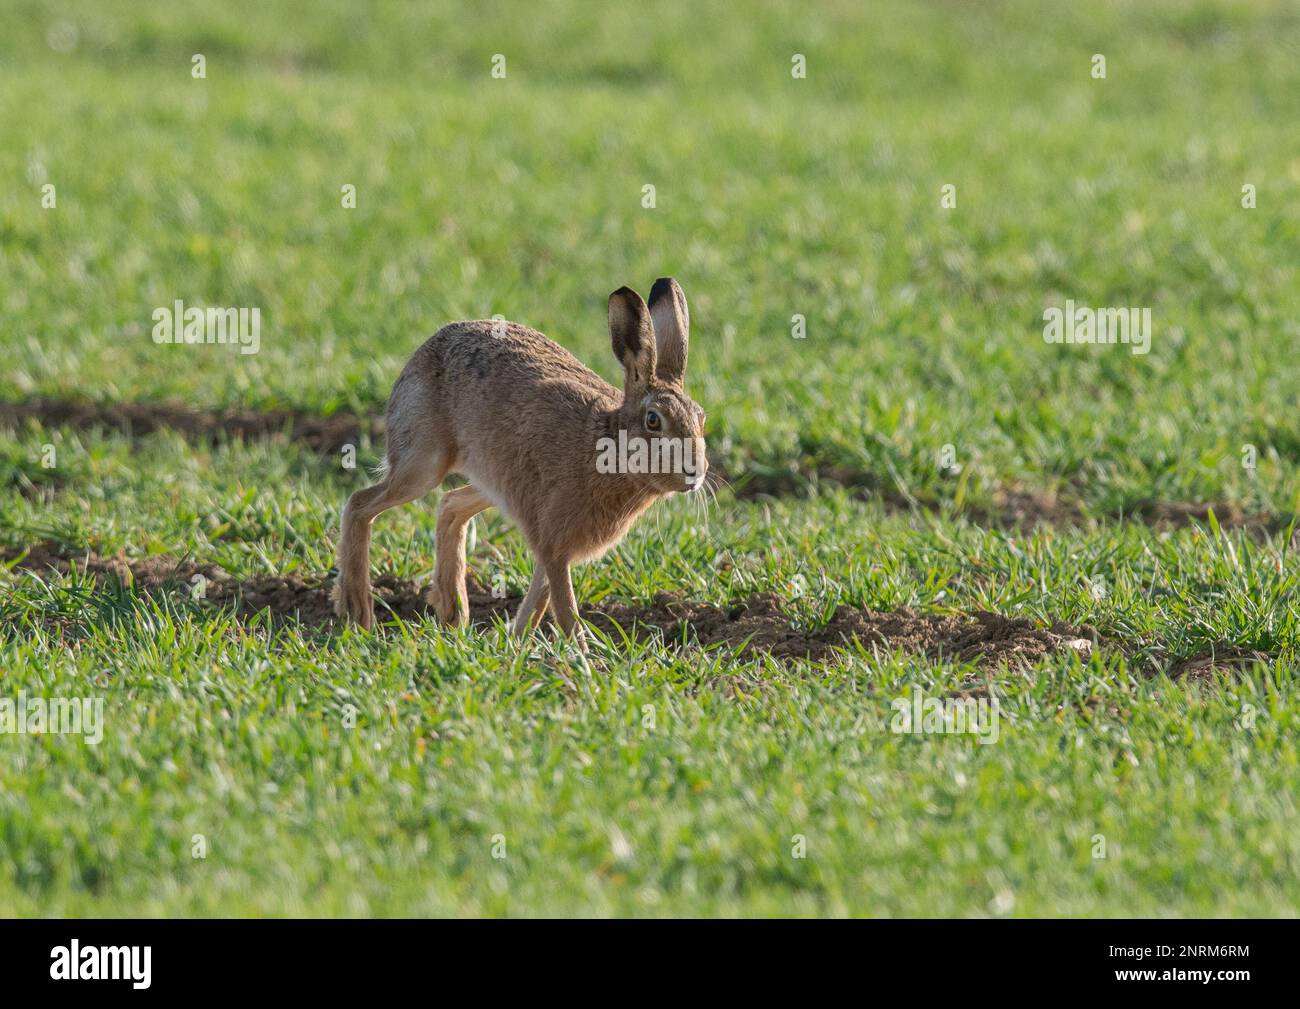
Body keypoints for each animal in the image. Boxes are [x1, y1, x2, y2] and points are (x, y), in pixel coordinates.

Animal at [332, 278, 707, 649]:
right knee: (360, 504)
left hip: (492, 481)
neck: (606, 446)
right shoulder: (554, 543)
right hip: (424, 463)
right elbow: (565, 609)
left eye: (700, 417)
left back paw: (454, 613)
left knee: (450, 505)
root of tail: (422, 352)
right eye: (654, 421)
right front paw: (583, 659)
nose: (696, 471)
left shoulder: (550, 539)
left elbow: (539, 598)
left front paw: (516, 642)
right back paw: (357, 612)